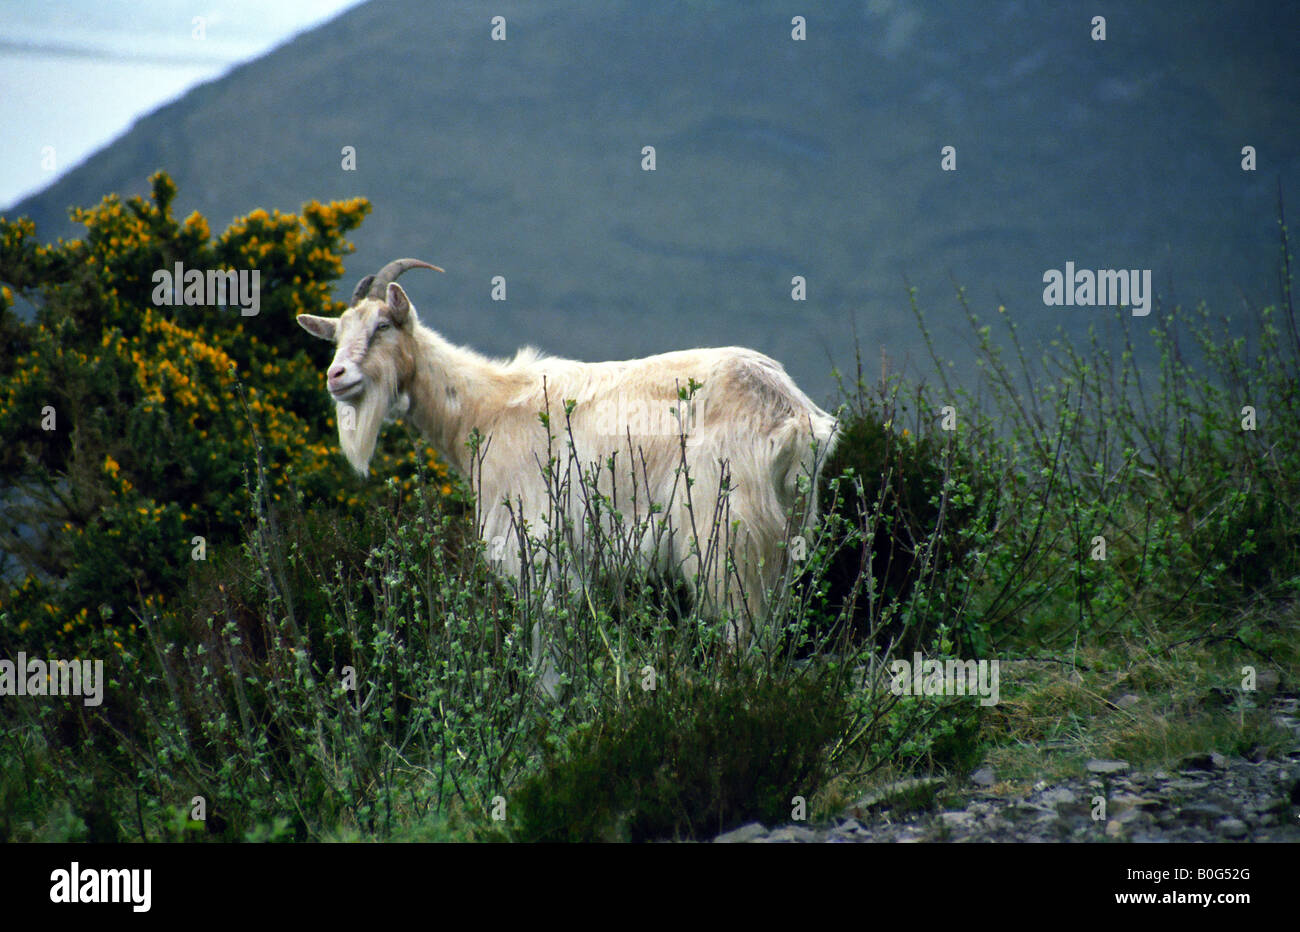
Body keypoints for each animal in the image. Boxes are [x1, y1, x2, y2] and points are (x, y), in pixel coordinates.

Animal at [297, 259, 838, 662]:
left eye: (383, 325)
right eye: (336, 336)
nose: (336, 376)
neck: (484, 409)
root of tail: (794, 417)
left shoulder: (534, 544)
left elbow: (545, 650)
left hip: (724, 531)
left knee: (740, 626)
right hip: (785, 531)